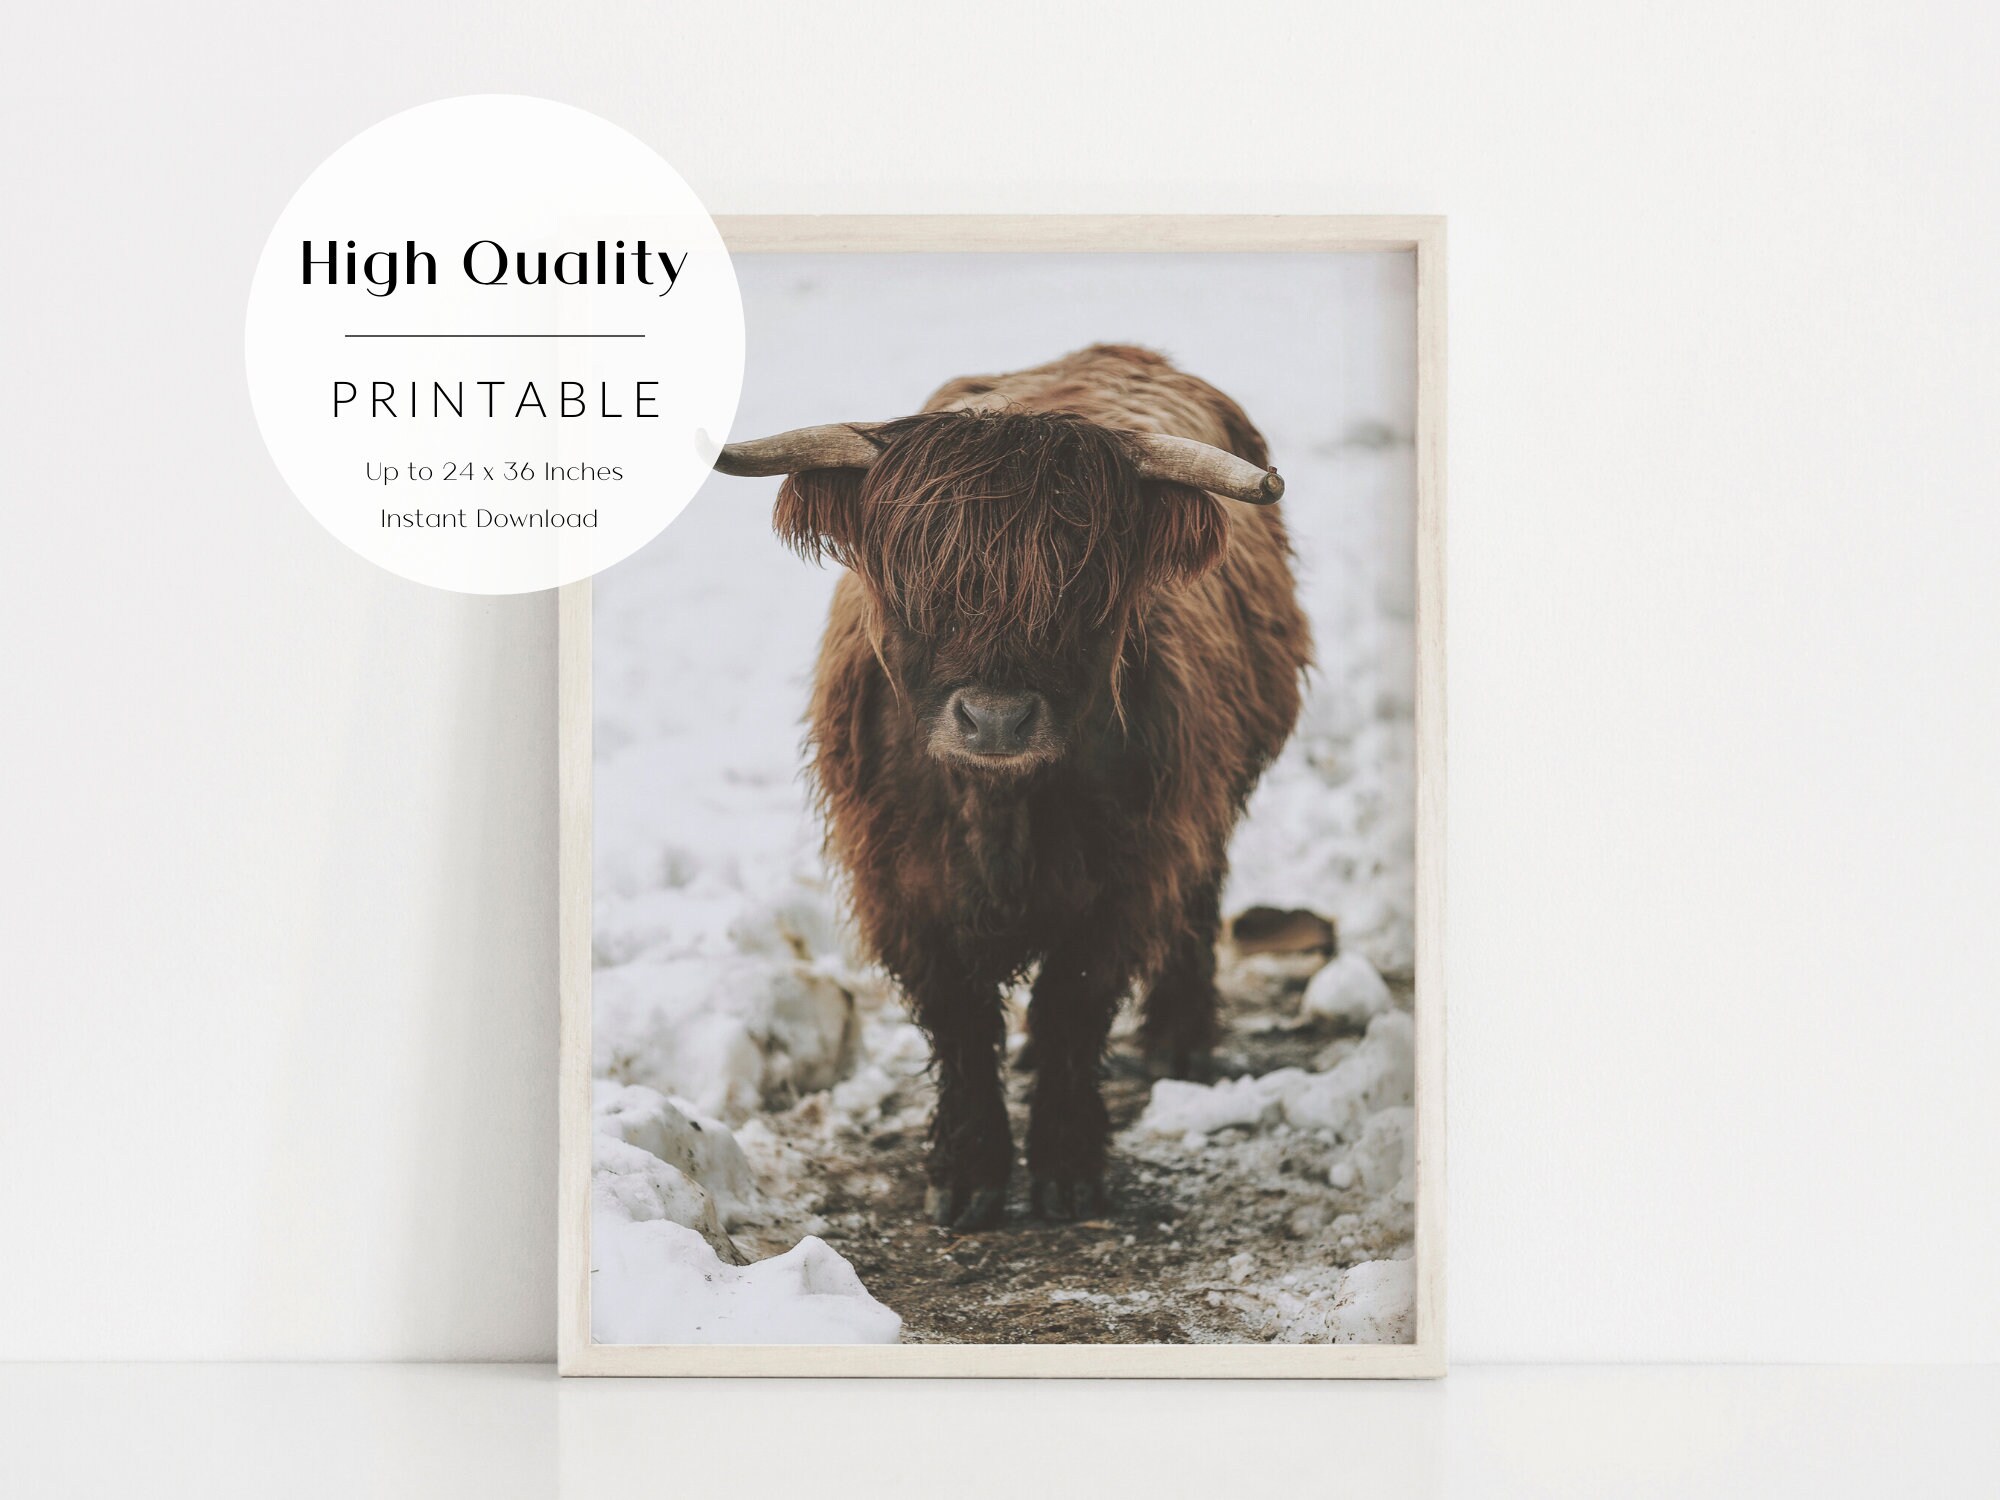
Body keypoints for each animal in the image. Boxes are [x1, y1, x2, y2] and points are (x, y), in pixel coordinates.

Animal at [715, 344, 1312, 1231]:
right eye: (913, 587)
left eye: (1084, 592)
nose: (994, 719)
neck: (997, 811)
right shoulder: (900, 886)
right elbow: (961, 1022)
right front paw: (968, 1177)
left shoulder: (1128, 877)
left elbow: (1073, 1007)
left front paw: (1068, 1168)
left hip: (1213, 796)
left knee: (1199, 895)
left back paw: (1178, 1038)